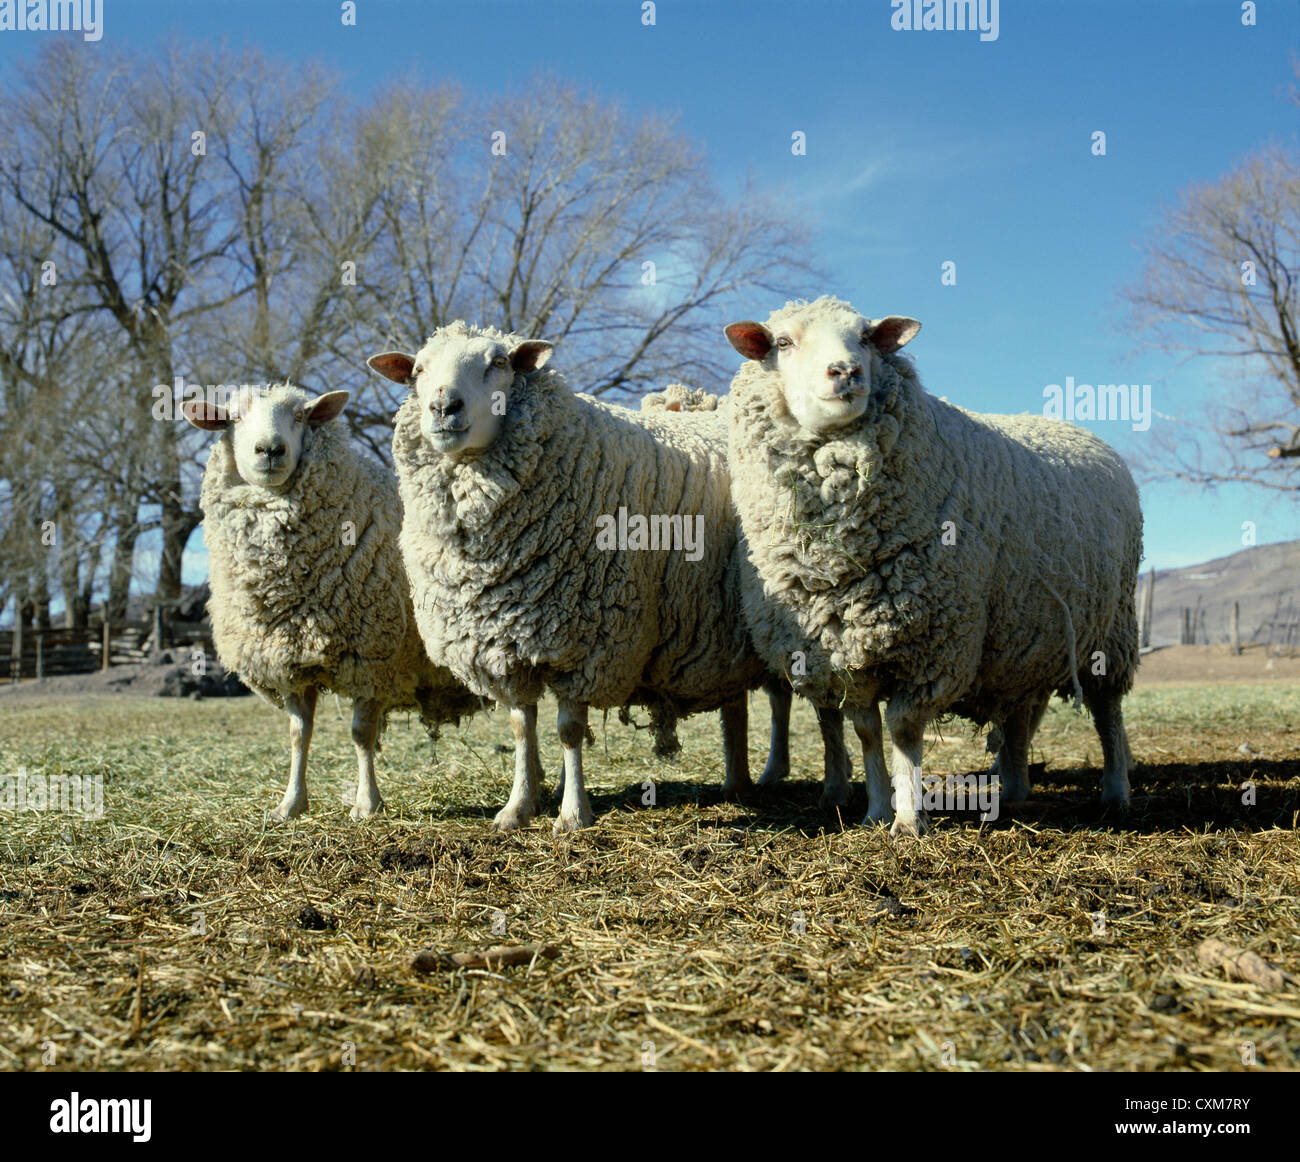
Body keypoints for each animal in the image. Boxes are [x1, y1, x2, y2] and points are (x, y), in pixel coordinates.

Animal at [184, 383, 480, 822]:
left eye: (300, 417)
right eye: (233, 418)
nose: (270, 450)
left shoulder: (373, 657)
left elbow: (361, 734)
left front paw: (367, 804)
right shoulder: (288, 660)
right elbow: (298, 734)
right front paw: (290, 805)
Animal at [369, 322, 767, 833]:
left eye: (498, 363)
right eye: (417, 370)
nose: (442, 407)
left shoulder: (585, 642)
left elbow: (569, 729)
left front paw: (573, 813)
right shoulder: (504, 643)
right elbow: (521, 727)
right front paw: (517, 808)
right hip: (723, 628)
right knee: (736, 702)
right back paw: (739, 783)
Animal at [723, 296, 1142, 835]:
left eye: (866, 337)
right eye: (783, 342)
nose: (846, 371)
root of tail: (1077, 431)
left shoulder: (933, 642)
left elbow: (903, 728)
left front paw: (908, 819)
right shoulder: (843, 649)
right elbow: (866, 730)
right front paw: (876, 811)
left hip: (1111, 629)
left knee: (1108, 711)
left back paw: (1115, 792)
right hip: (1023, 633)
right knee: (1019, 713)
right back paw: (1015, 788)